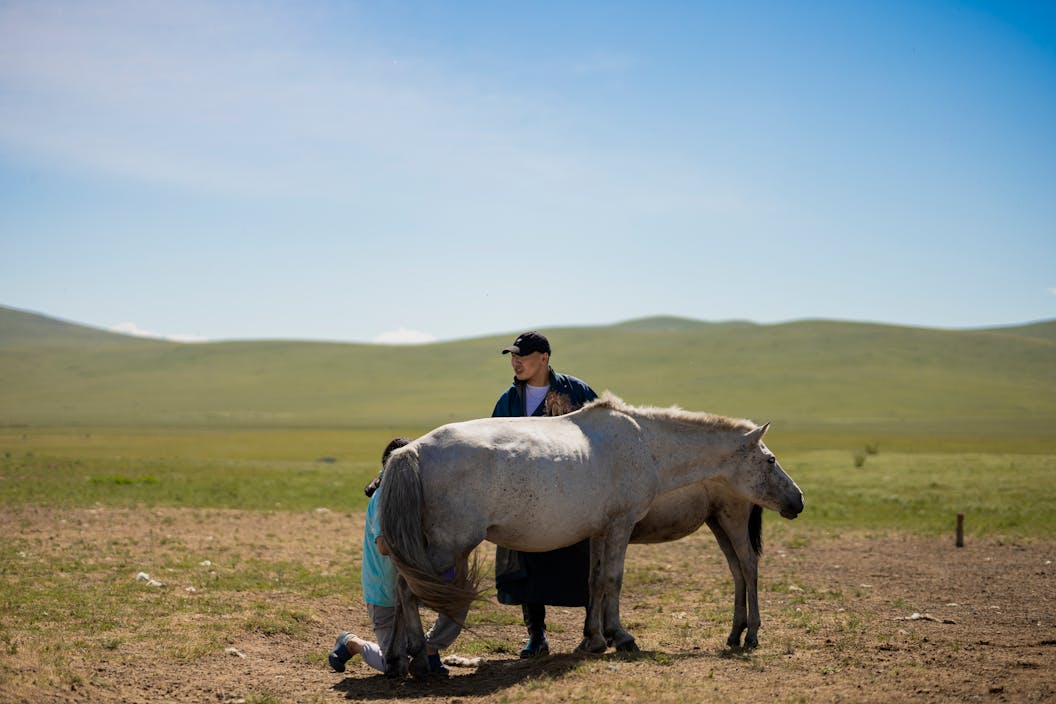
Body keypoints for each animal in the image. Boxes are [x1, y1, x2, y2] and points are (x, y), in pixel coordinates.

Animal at [377, 392, 803, 677]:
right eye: (770, 460)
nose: (797, 500)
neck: (645, 444)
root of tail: (411, 452)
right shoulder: (620, 526)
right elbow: (613, 579)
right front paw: (621, 637)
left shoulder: (601, 532)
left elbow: (595, 581)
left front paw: (596, 640)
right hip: (446, 549)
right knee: (408, 593)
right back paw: (419, 658)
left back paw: (397, 660)